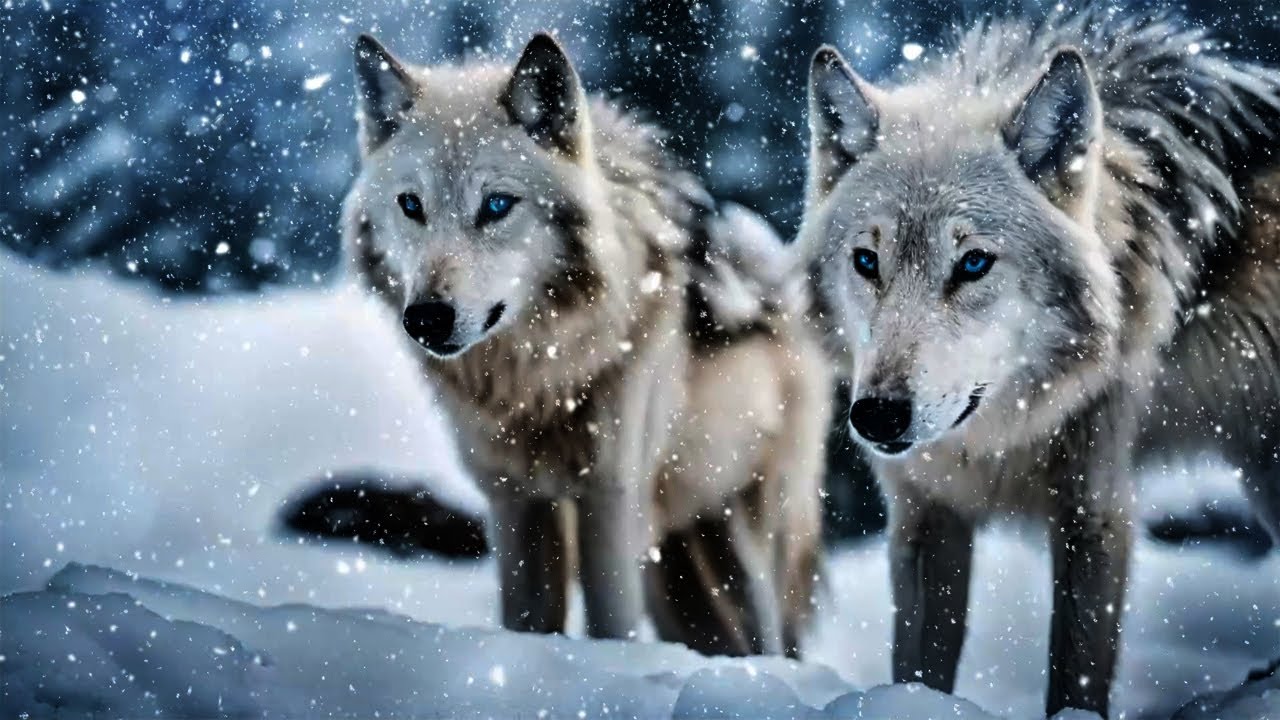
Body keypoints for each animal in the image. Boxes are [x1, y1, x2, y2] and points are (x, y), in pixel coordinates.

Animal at [342, 33, 831, 657]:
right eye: (411, 205)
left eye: (496, 205)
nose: (426, 318)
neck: (535, 378)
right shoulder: (513, 501)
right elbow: (528, 619)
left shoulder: (610, 497)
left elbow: (610, 626)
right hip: (678, 570)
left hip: (746, 541)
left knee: (772, 640)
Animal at [800, 8, 1280, 715]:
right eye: (866, 261)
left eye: (973, 263)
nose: (878, 416)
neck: (1002, 434)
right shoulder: (925, 512)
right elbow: (917, 667)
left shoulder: (1095, 509)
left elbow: (1075, 673)